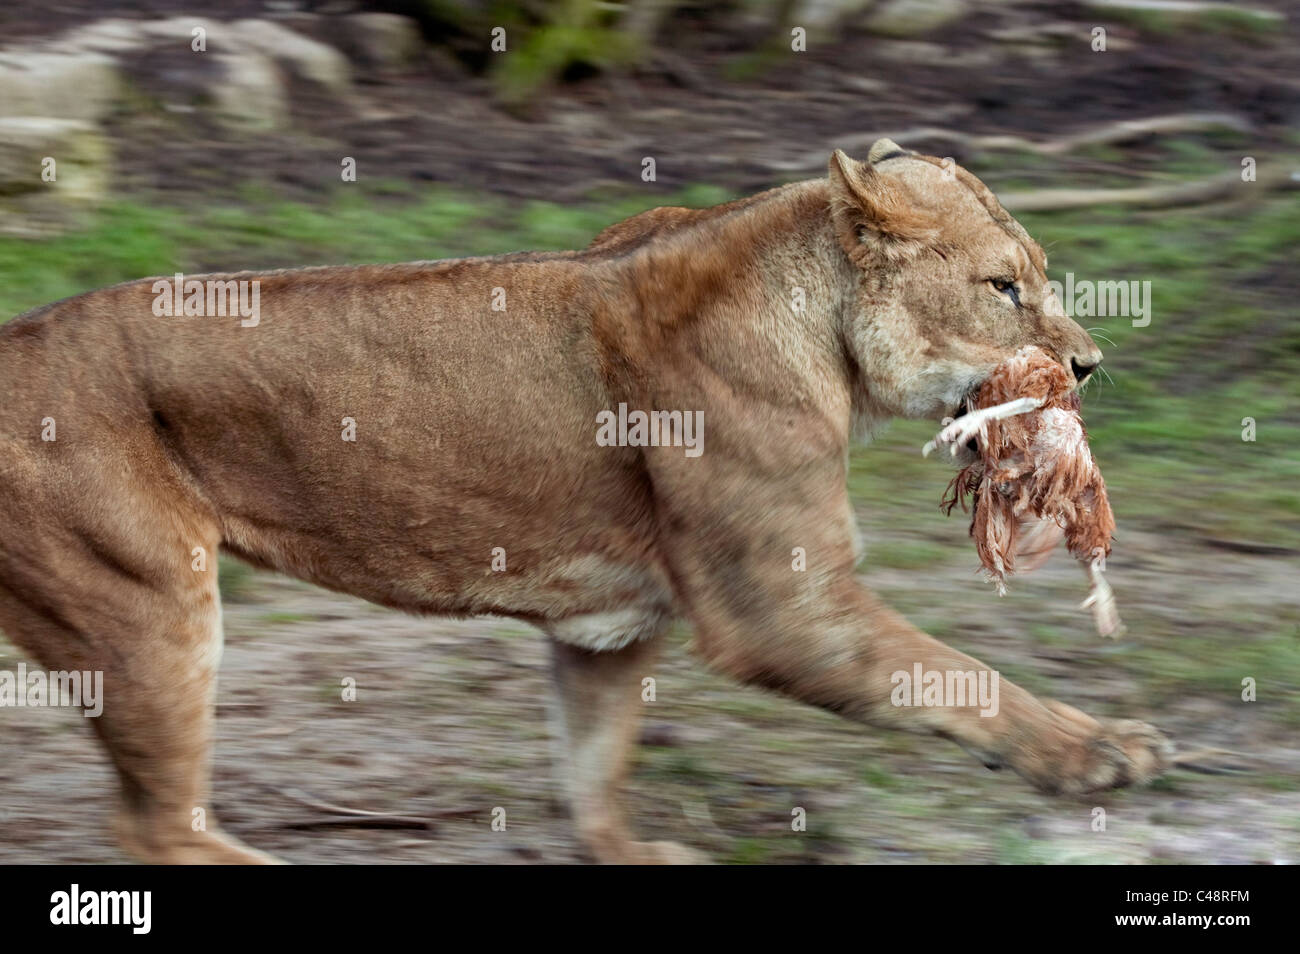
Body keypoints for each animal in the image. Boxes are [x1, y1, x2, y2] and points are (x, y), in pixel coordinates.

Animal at [0, 139, 1172, 864]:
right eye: (1003, 287)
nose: (1090, 365)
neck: (824, 339)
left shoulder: (607, 630)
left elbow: (594, 770)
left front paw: (631, 848)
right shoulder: (781, 611)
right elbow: (958, 678)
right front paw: (1098, 751)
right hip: (148, 608)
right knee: (155, 830)